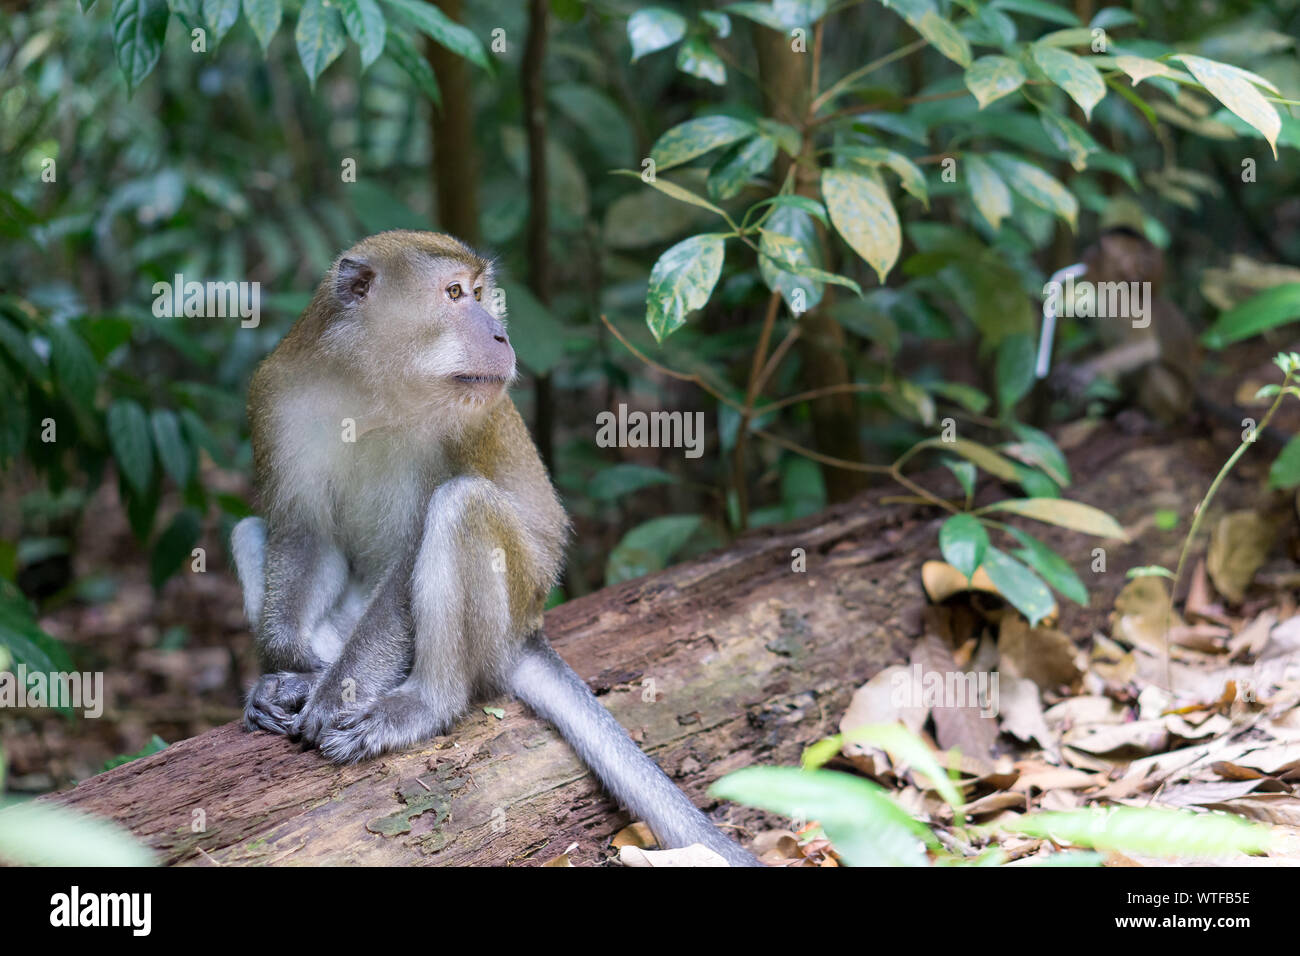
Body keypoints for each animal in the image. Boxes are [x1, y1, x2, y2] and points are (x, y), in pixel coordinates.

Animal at [228, 231, 758, 866]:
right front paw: (297, 676)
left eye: (480, 293)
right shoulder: (277, 395)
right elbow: (304, 534)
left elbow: (412, 554)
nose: (501, 335)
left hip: (505, 614)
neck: (371, 386)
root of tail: (529, 629)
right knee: (247, 530)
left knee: (462, 506)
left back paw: (425, 704)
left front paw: (331, 694)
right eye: (455, 293)